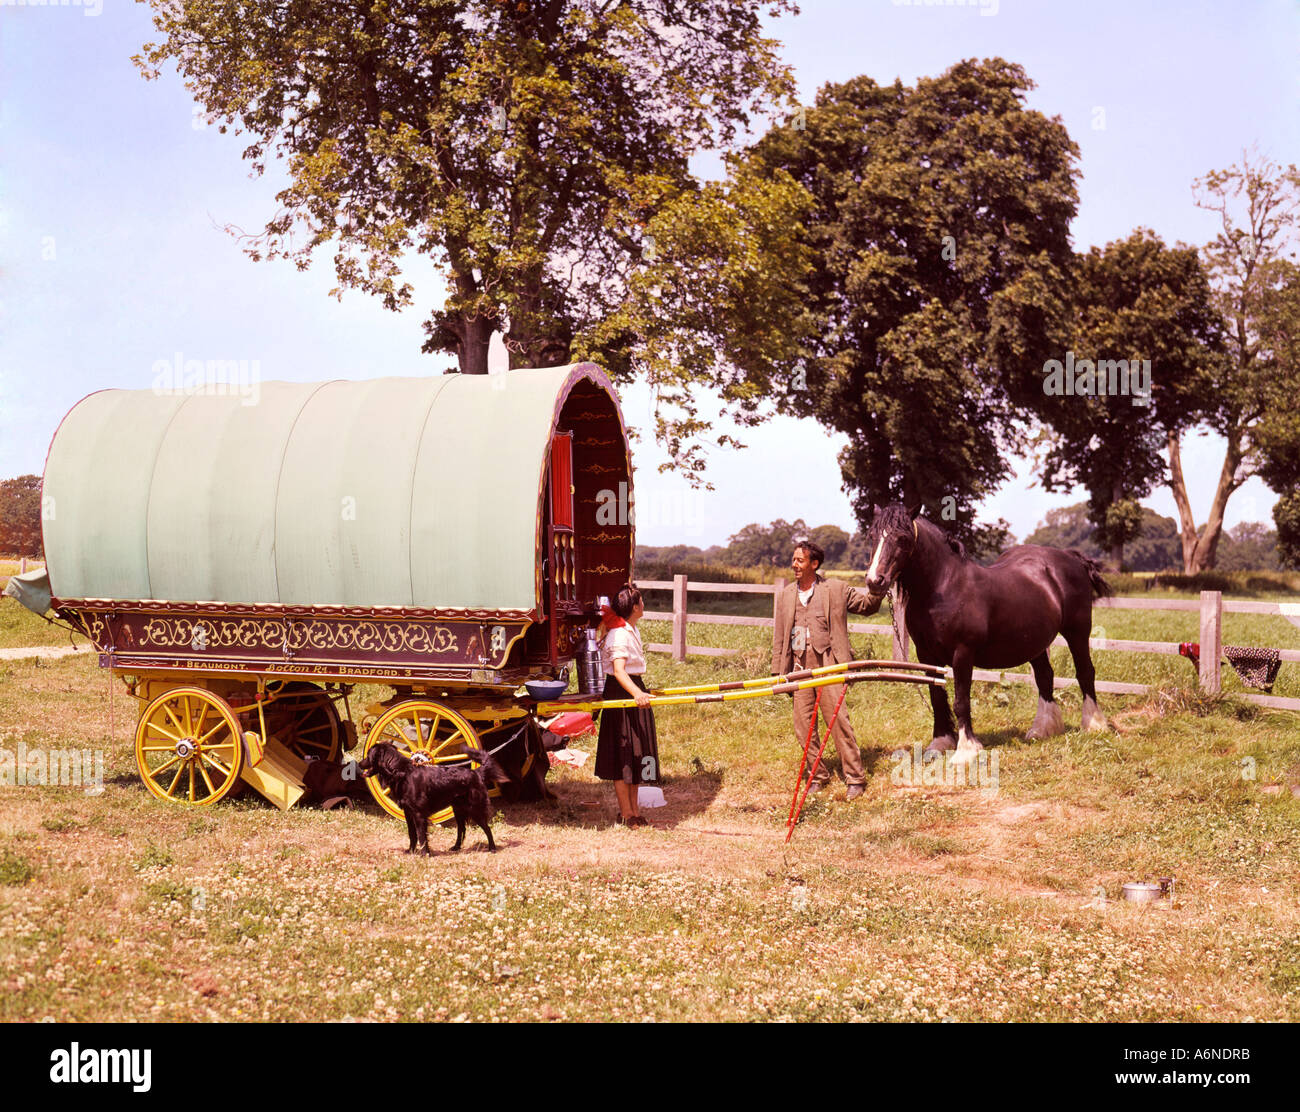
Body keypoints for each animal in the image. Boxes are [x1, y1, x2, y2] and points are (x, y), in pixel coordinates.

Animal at [364, 743, 514, 858]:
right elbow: (412, 834)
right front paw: (411, 851)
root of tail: (476, 773)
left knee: (487, 828)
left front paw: (425, 854)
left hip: (475, 809)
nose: (360, 764)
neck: (403, 773)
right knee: (462, 829)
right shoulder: (408, 813)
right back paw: (456, 847)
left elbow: (421, 836)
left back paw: (492, 848)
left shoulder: (419, 815)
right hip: (458, 810)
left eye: (368, 756)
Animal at [857, 507, 1112, 759]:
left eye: (903, 538)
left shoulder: (963, 653)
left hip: (1077, 632)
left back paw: (1095, 724)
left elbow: (961, 700)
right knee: (1045, 677)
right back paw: (1042, 729)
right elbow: (937, 697)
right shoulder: (926, 655)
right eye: (872, 535)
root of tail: (1071, 558)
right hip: (1035, 641)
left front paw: (967, 750)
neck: (943, 587)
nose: (875, 581)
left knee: (1085, 672)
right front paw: (940, 742)